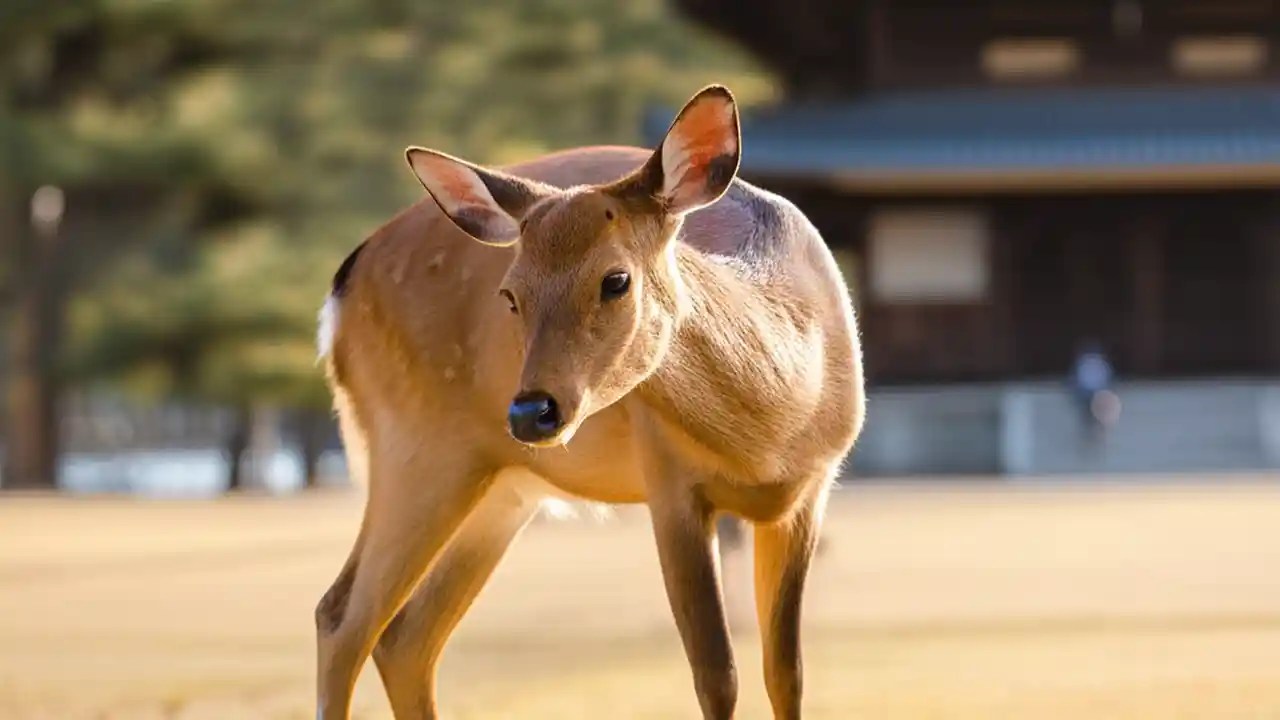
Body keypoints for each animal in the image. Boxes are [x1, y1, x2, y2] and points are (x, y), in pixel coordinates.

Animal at [314, 85, 864, 720]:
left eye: (615, 280)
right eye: (511, 294)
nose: (531, 412)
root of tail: (339, 294)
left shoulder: (810, 490)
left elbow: (787, 672)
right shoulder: (669, 481)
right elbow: (716, 674)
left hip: (500, 488)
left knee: (407, 636)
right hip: (416, 444)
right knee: (342, 616)